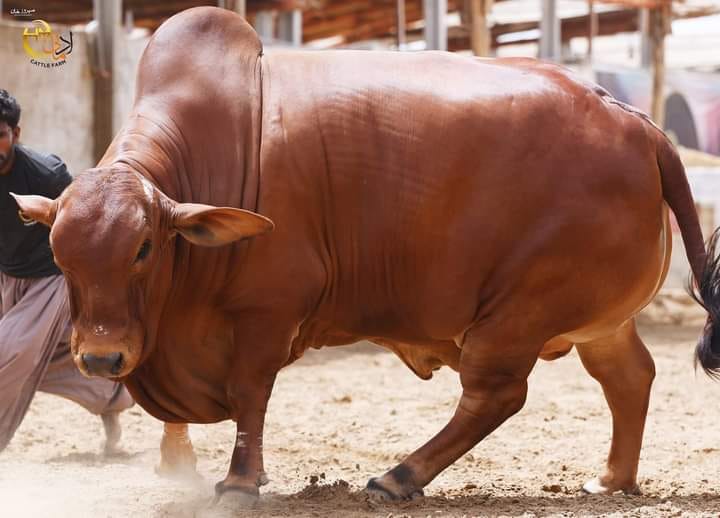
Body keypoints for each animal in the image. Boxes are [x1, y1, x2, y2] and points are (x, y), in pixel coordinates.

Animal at [12, 6, 720, 503]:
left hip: (517, 314)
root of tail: (634, 120)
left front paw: (240, 481)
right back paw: (611, 478)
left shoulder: (269, 312)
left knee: (496, 395)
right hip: (601, 322)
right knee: (628, 378)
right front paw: (176, 460)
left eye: (144, 248)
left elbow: (250, 394)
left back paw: (401, 475)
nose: (101, 357)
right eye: (60, 255)